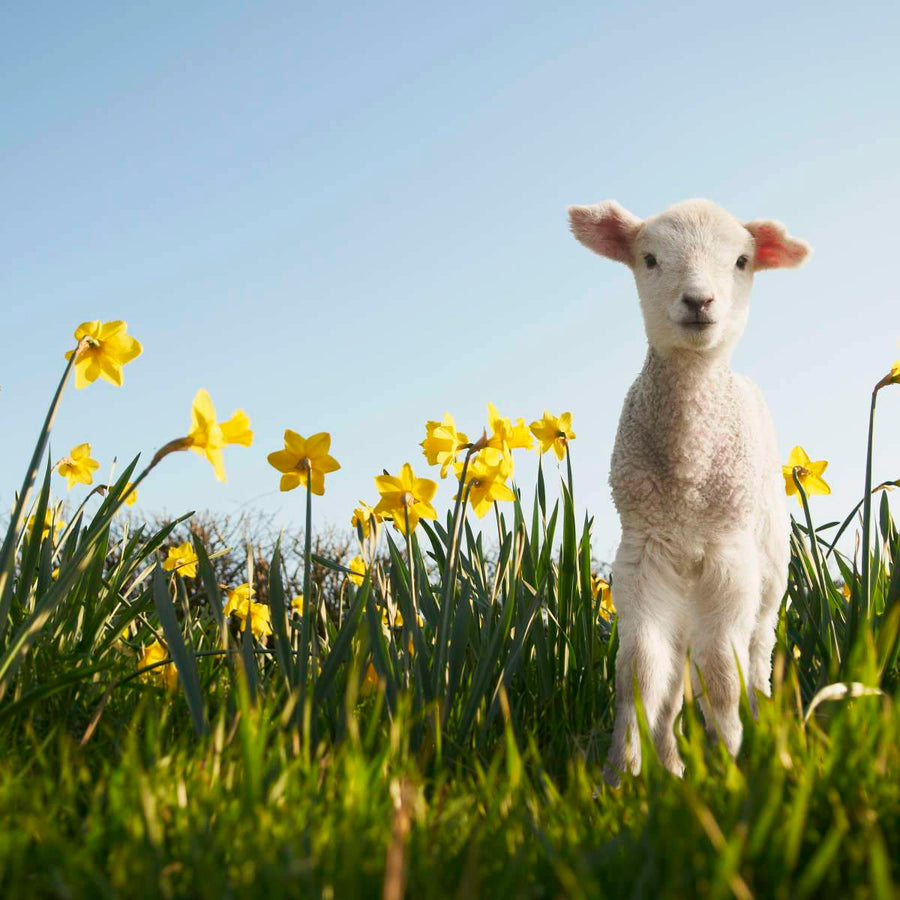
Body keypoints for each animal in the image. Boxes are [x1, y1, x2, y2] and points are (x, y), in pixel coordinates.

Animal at [568, 198, 810, 783]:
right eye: (650, 259)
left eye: (742, 261)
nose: (699, 301)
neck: (688, 486)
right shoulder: (644, 554)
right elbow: (640, 671)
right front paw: (622, 775)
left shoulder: (728, 556)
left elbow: (721, 670)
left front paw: (731, 760)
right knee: (676, 673)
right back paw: (671, 760)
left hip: (769, 576)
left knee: (755, 655)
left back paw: (759, 725)